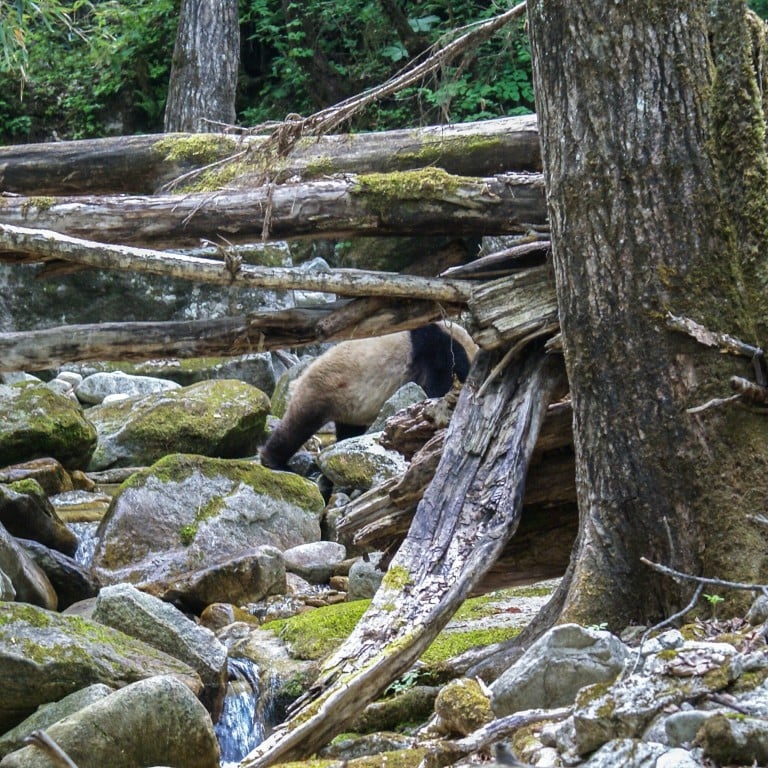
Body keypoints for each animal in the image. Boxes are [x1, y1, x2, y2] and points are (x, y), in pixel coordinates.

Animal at [260, 321, 477, 470]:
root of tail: (298, 380)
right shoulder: (438, 352)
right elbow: (439, 386)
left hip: (345, 401)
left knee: (347, 429)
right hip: (321, 390)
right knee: (298, 426)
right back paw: (273, 461)